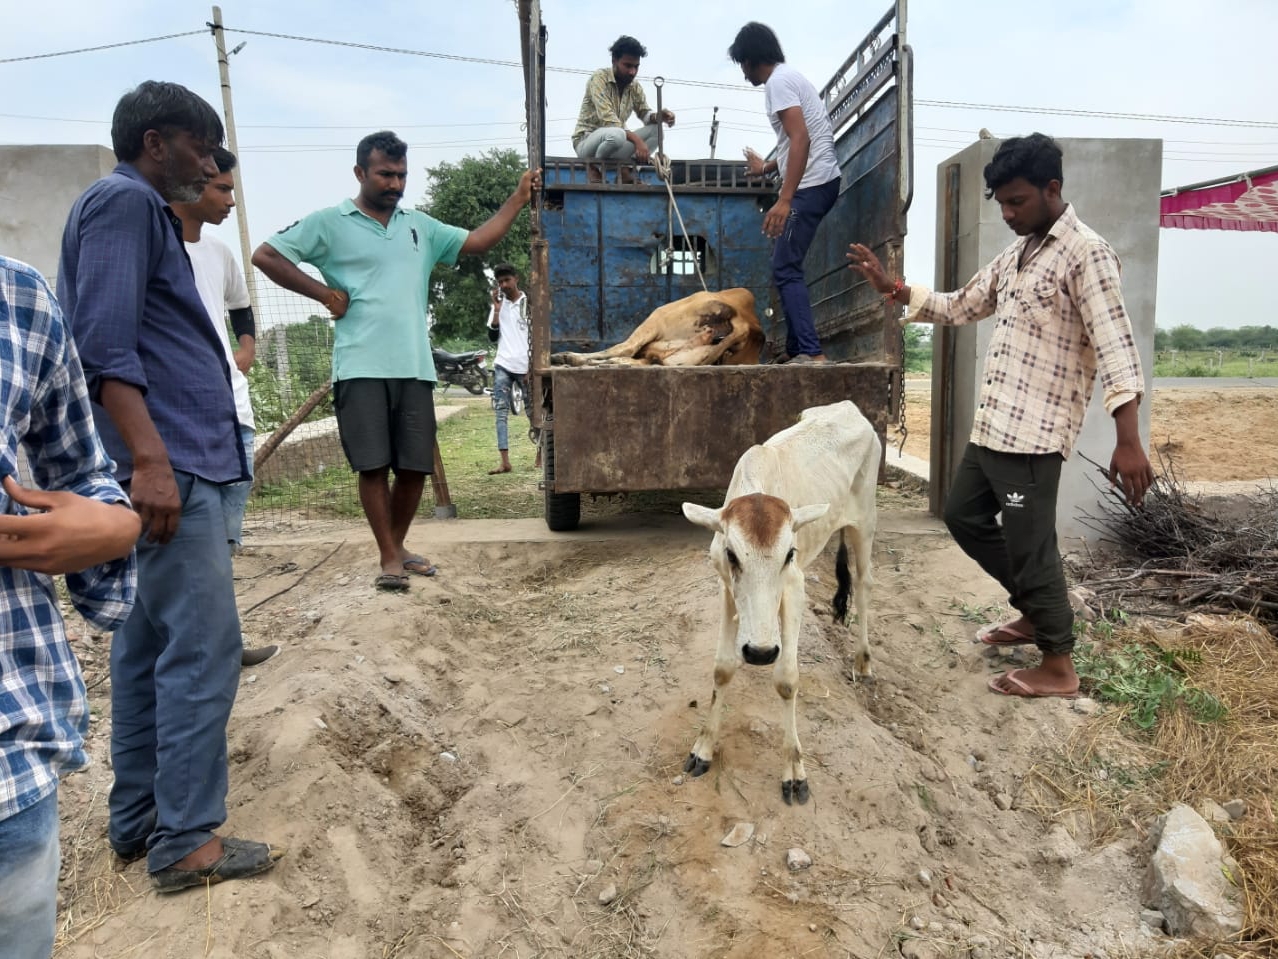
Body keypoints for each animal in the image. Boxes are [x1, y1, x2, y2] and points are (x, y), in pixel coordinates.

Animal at [681, 400, 881, 805]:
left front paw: (794, 771)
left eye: (789, 554)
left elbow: (787, 680)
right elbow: (722, 669)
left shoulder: (794, 588)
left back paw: (863, 660)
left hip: (865, 524)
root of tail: (851, 407)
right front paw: (703, 749)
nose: (759, 652)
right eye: (731, 554)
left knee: (864, 584)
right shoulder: (726, 589)